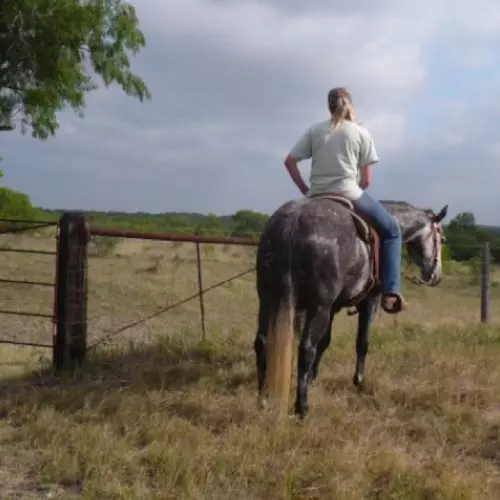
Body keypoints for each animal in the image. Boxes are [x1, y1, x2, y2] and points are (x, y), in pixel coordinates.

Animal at [254, 195, 450, 418]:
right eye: (442, 240)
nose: (436, 276)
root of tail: (293, 223)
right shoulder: (368, 302)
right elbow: (362, 343)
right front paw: (359, 382)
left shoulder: (333, 307)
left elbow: (325, 342)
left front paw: (313, 377)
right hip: (317, 307)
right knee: (306, 349)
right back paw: (302, 408)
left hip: (268, 300)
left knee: (263, 343)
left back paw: (263, 400)